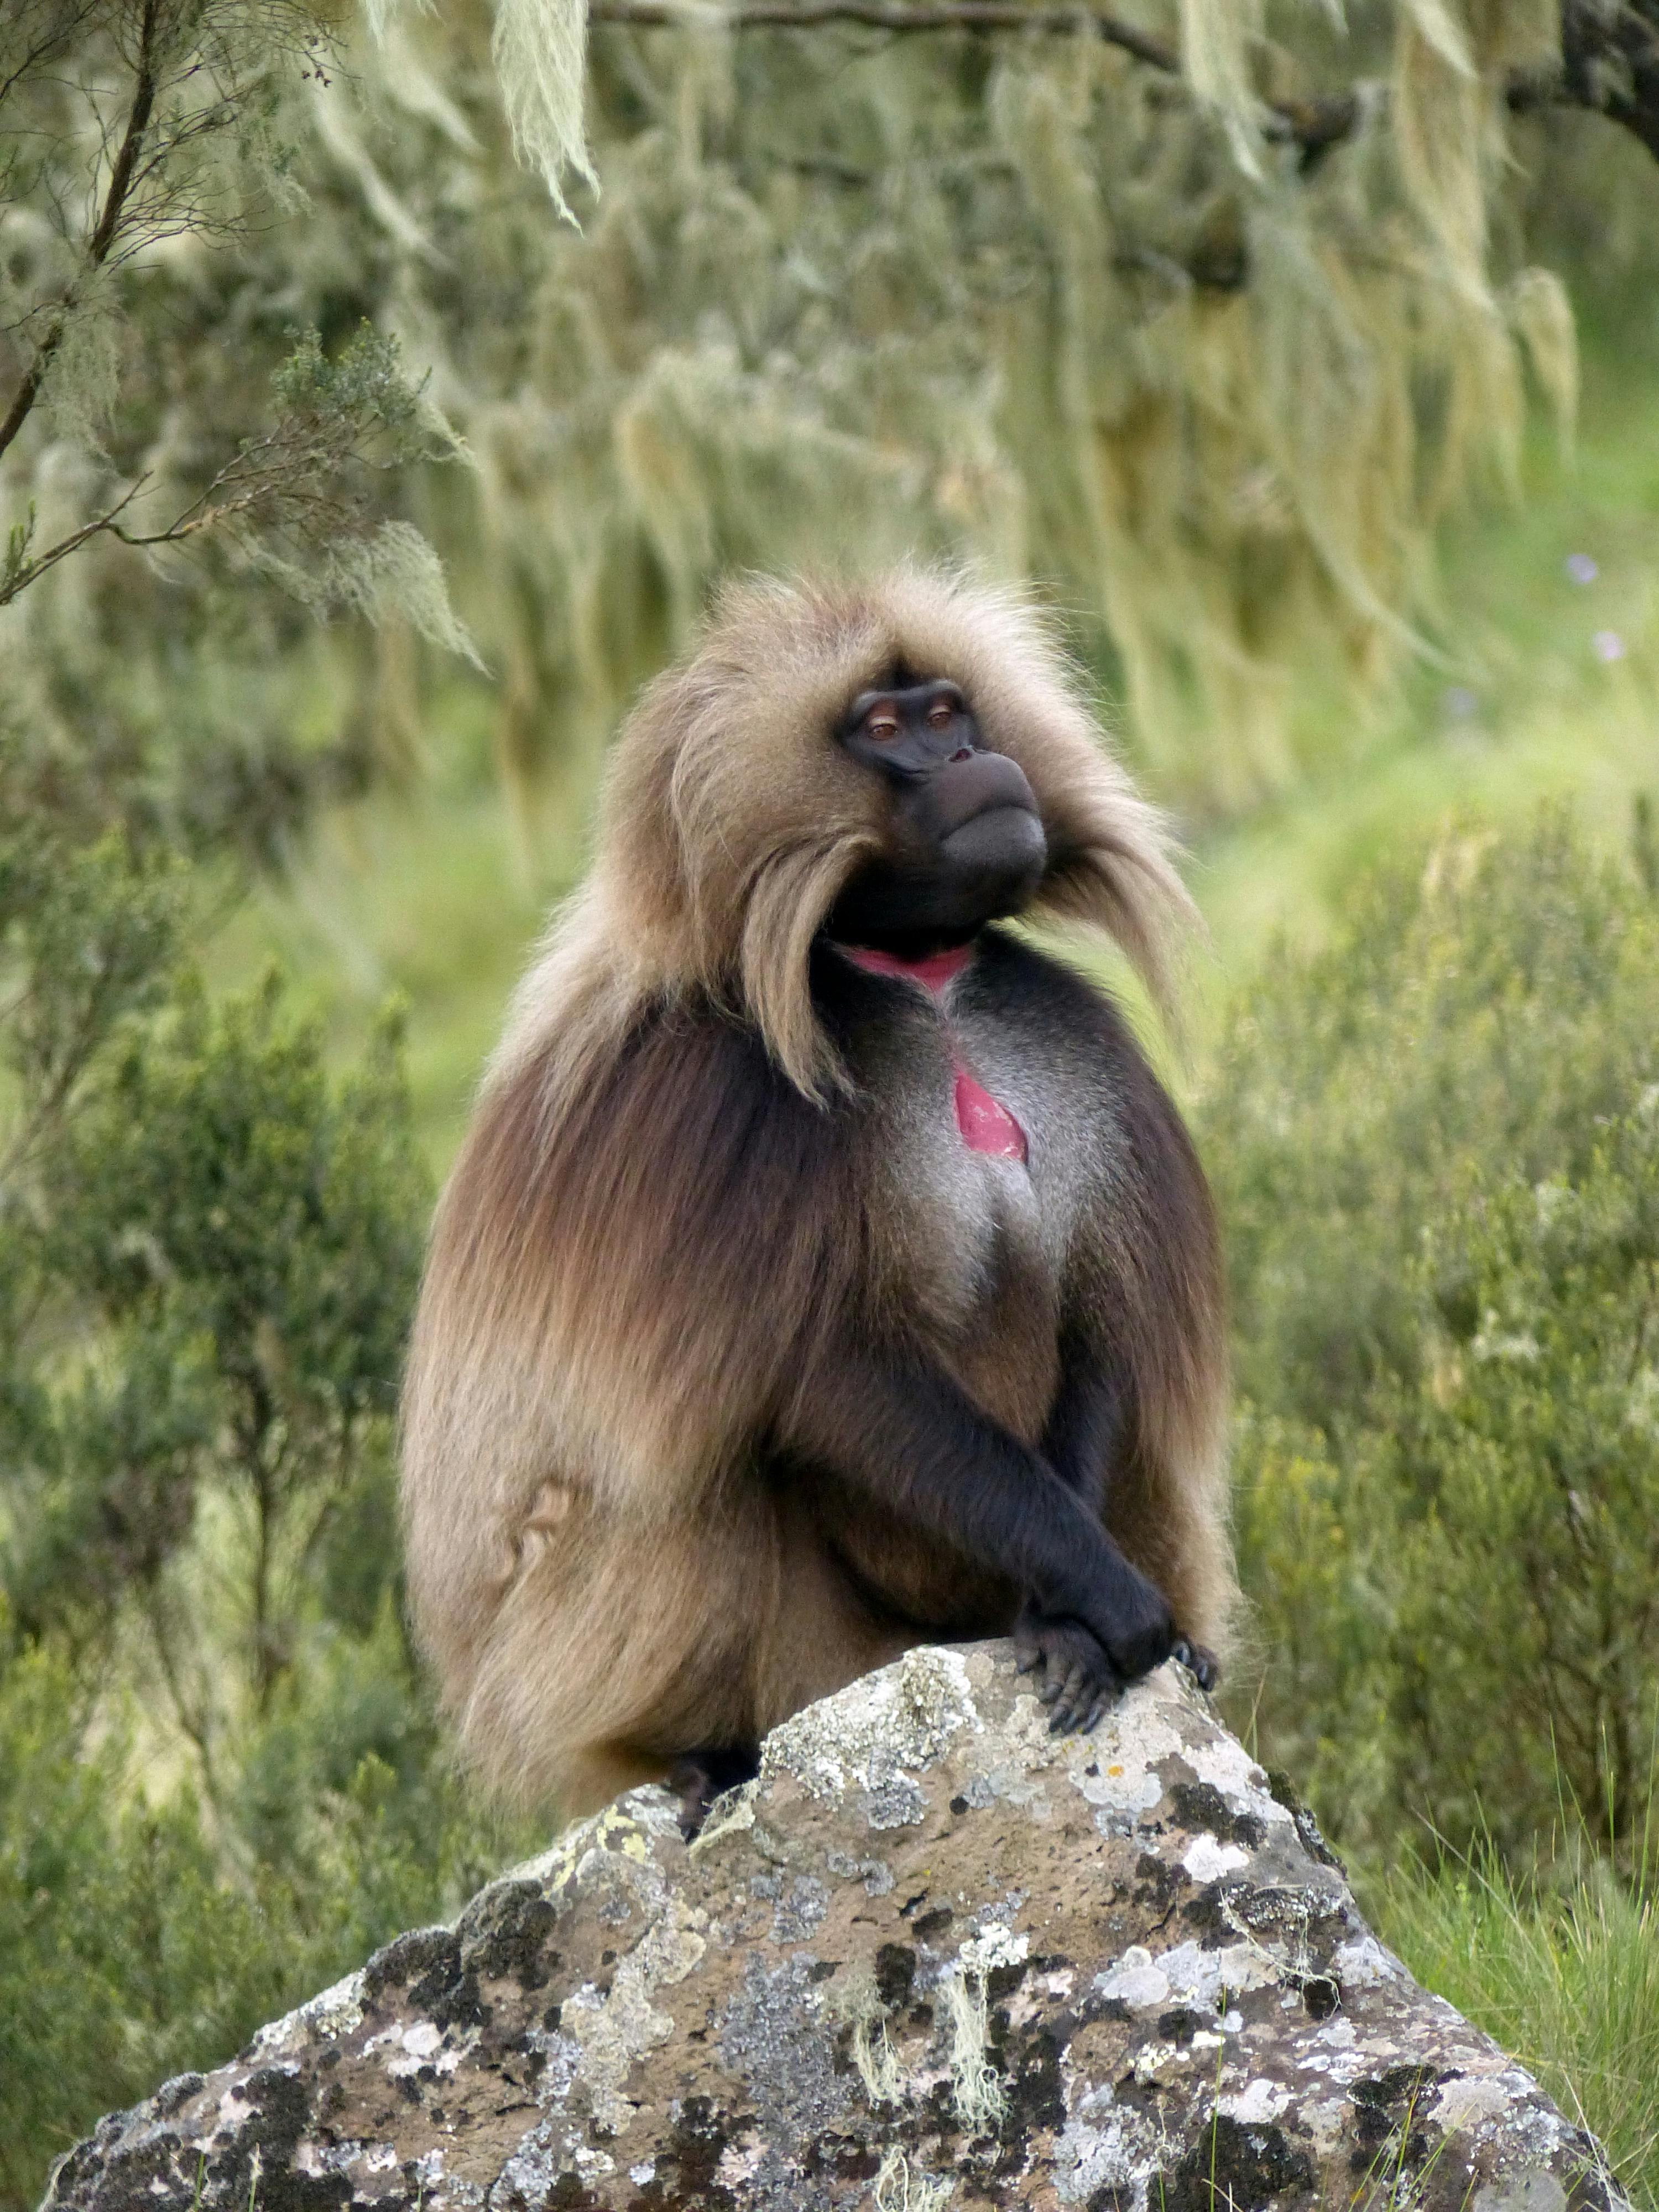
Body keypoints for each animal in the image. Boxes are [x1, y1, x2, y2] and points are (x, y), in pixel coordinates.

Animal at [400, 568, 1234, 1838]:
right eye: (885, 728)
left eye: (949, 709)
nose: (972, 758)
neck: (921, 981)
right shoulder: (710, 1095)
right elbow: (818, 1377)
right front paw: (1097, 1603)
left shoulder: (1074, 1053)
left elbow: (1097, 1332)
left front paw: (1092, 1620)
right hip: (803, 1661)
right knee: (680, 1472)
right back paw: (697, 1756)